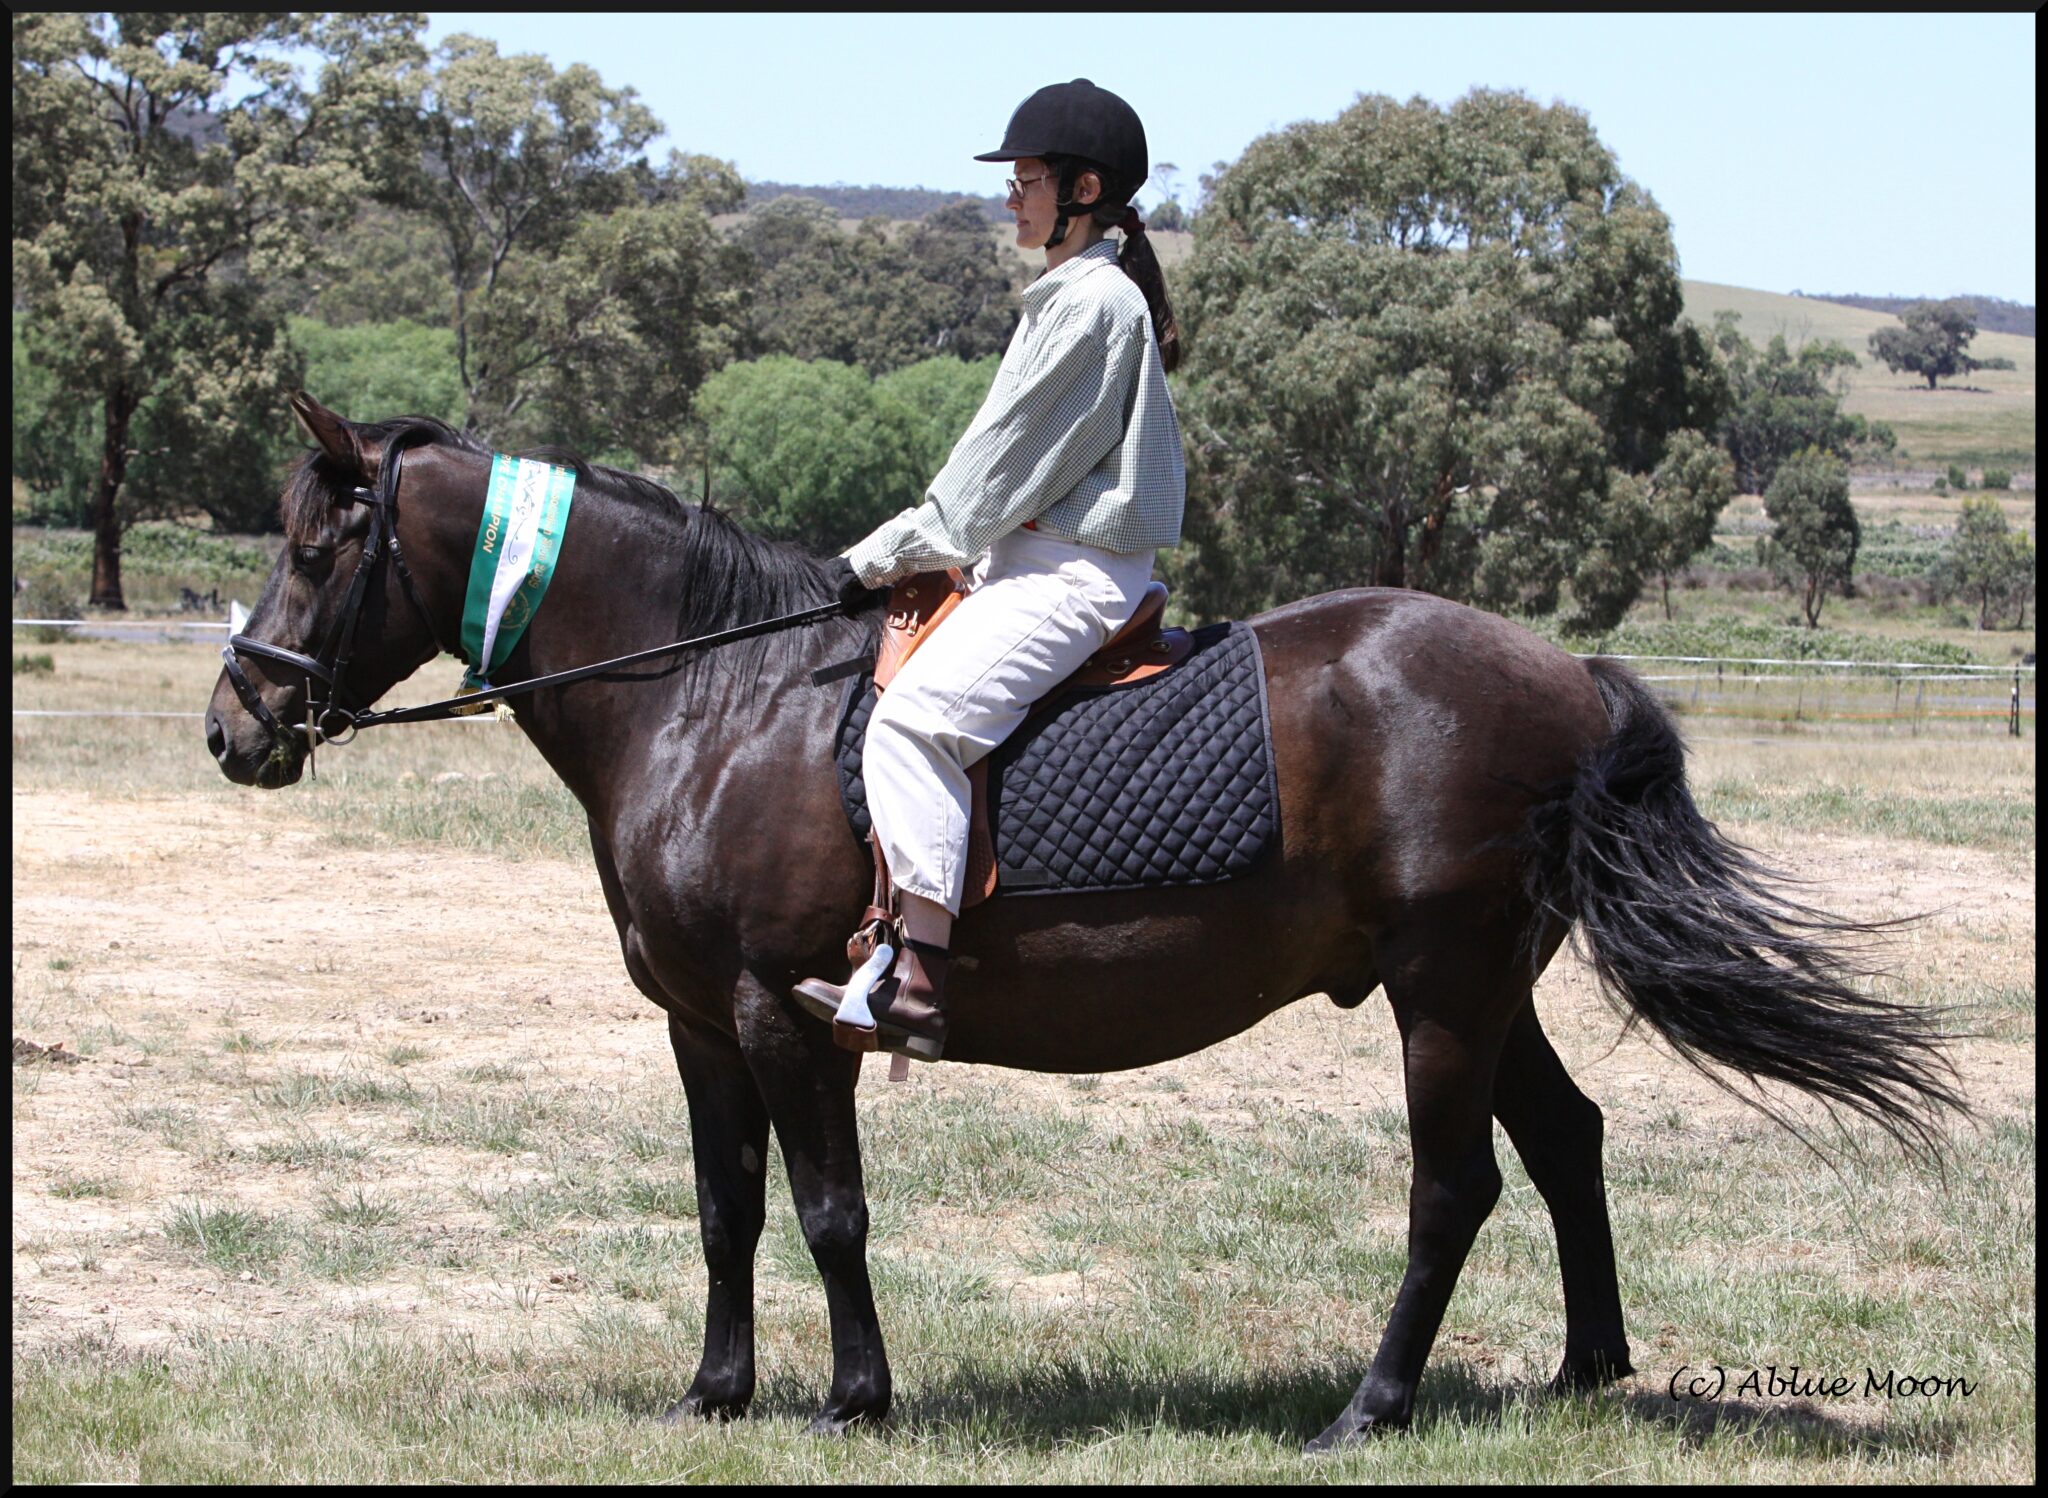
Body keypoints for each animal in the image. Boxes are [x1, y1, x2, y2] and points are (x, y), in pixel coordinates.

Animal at [205, 395, 1960, 1451]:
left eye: (316, 543)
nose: (236, 728)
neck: (713, 694)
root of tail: (1563, 672)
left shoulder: (787, 1013)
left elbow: (828, 1213)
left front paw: (854, 1399)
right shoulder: (701, 1021)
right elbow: (725, 1211)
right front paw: (714, 1395)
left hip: (1442, 987)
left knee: (1455, 1183)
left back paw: (1370, 1409)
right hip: (1485, 985)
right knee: (1570, 1138)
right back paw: (1587, 1375)